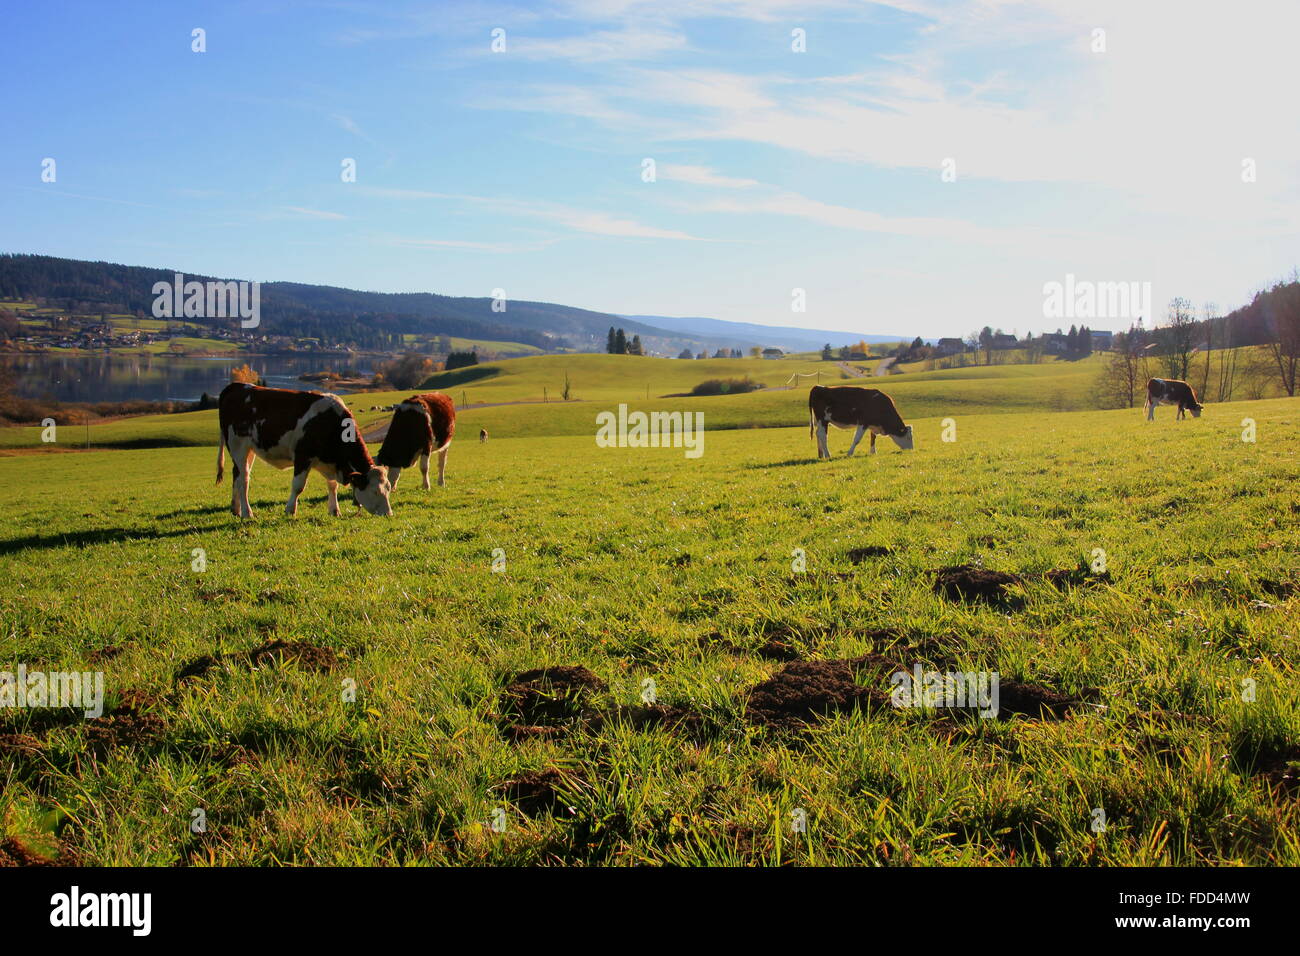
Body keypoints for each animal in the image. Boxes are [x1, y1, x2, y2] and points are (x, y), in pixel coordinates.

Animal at [216, 382, 392, 518]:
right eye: (375, 491)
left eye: (388, 489)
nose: (388, 514)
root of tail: (238, 386)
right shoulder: (303, 456)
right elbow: (298, 486)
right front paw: (290, 510)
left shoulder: (330, 461)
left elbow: (332, 485)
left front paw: (334, 510)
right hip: (238, 445)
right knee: (244, 478)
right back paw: (247, 512)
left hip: (250, 449)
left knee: (237, 474)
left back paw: (236, 509)